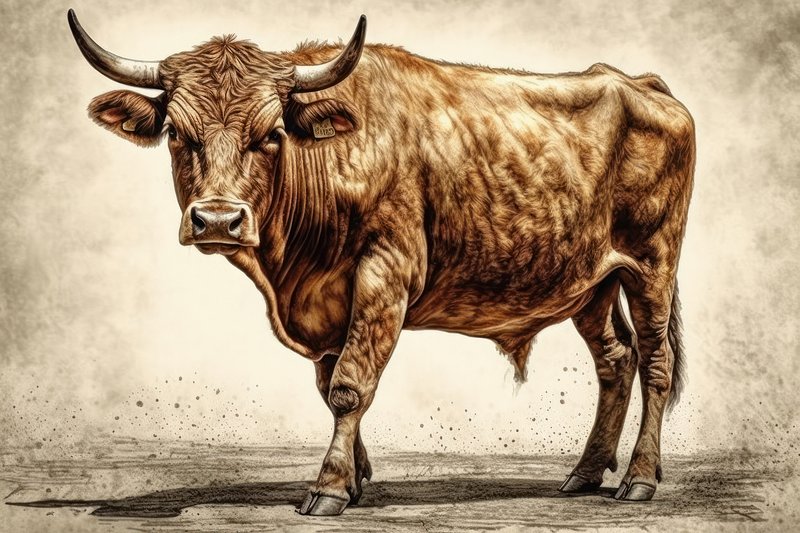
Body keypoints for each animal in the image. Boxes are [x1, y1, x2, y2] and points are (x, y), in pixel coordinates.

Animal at [68, 9, 695, 516]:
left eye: (271, 134)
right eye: (177, 132)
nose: (218, 219)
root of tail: (635, 82)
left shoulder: (384, 278)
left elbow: (350, 385)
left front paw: (328, 488)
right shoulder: (328, 303)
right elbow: (329, 382)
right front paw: (357, 478)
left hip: (651, 265)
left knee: (655, 362)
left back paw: (638, 481)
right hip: (590, 283)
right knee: (615, 359)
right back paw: (584, 474)